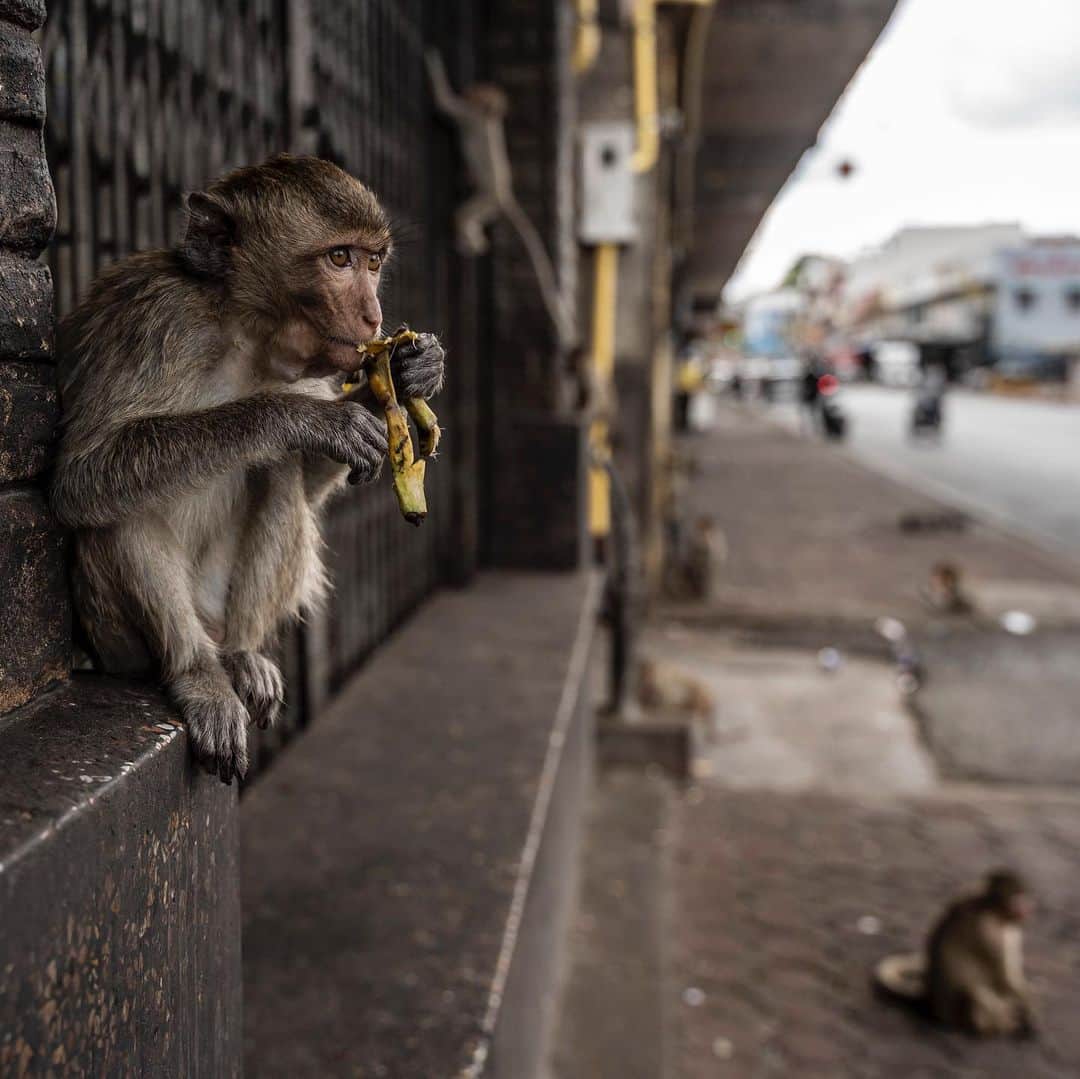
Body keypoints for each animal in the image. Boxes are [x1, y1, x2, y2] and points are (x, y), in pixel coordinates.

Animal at [50, 154, 445, 784]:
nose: (374, 316)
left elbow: (307, 484)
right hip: (113, 640)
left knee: (279, 476)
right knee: (117, 506)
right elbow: (80, 477)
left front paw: (409, 373)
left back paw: (239, 655)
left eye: (373, 261)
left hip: (215, 599)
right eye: (339, 258)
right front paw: (301, 418)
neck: (244, 333)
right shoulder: (154, 320)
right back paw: (197, 674)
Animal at [425, 49, 577, 351]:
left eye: (479, 93)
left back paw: (467, 238)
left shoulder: (467, 114)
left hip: (485, 199)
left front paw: (433, 62)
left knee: (463, 215)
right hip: (490, 206)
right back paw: (478, 242)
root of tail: (504, 195)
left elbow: (445, 102)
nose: (472, 90)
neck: (488, 116)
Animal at [875, 869, 1037, 1038]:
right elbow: (1003, 981)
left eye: (1026, 899)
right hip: (961, 1016)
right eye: (1019, 901)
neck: (988, 907)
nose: (1029, 907)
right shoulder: (991, 934)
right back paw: (998, 1028)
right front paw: (1028, 1011)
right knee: (975, 992)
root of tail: (928, 999)